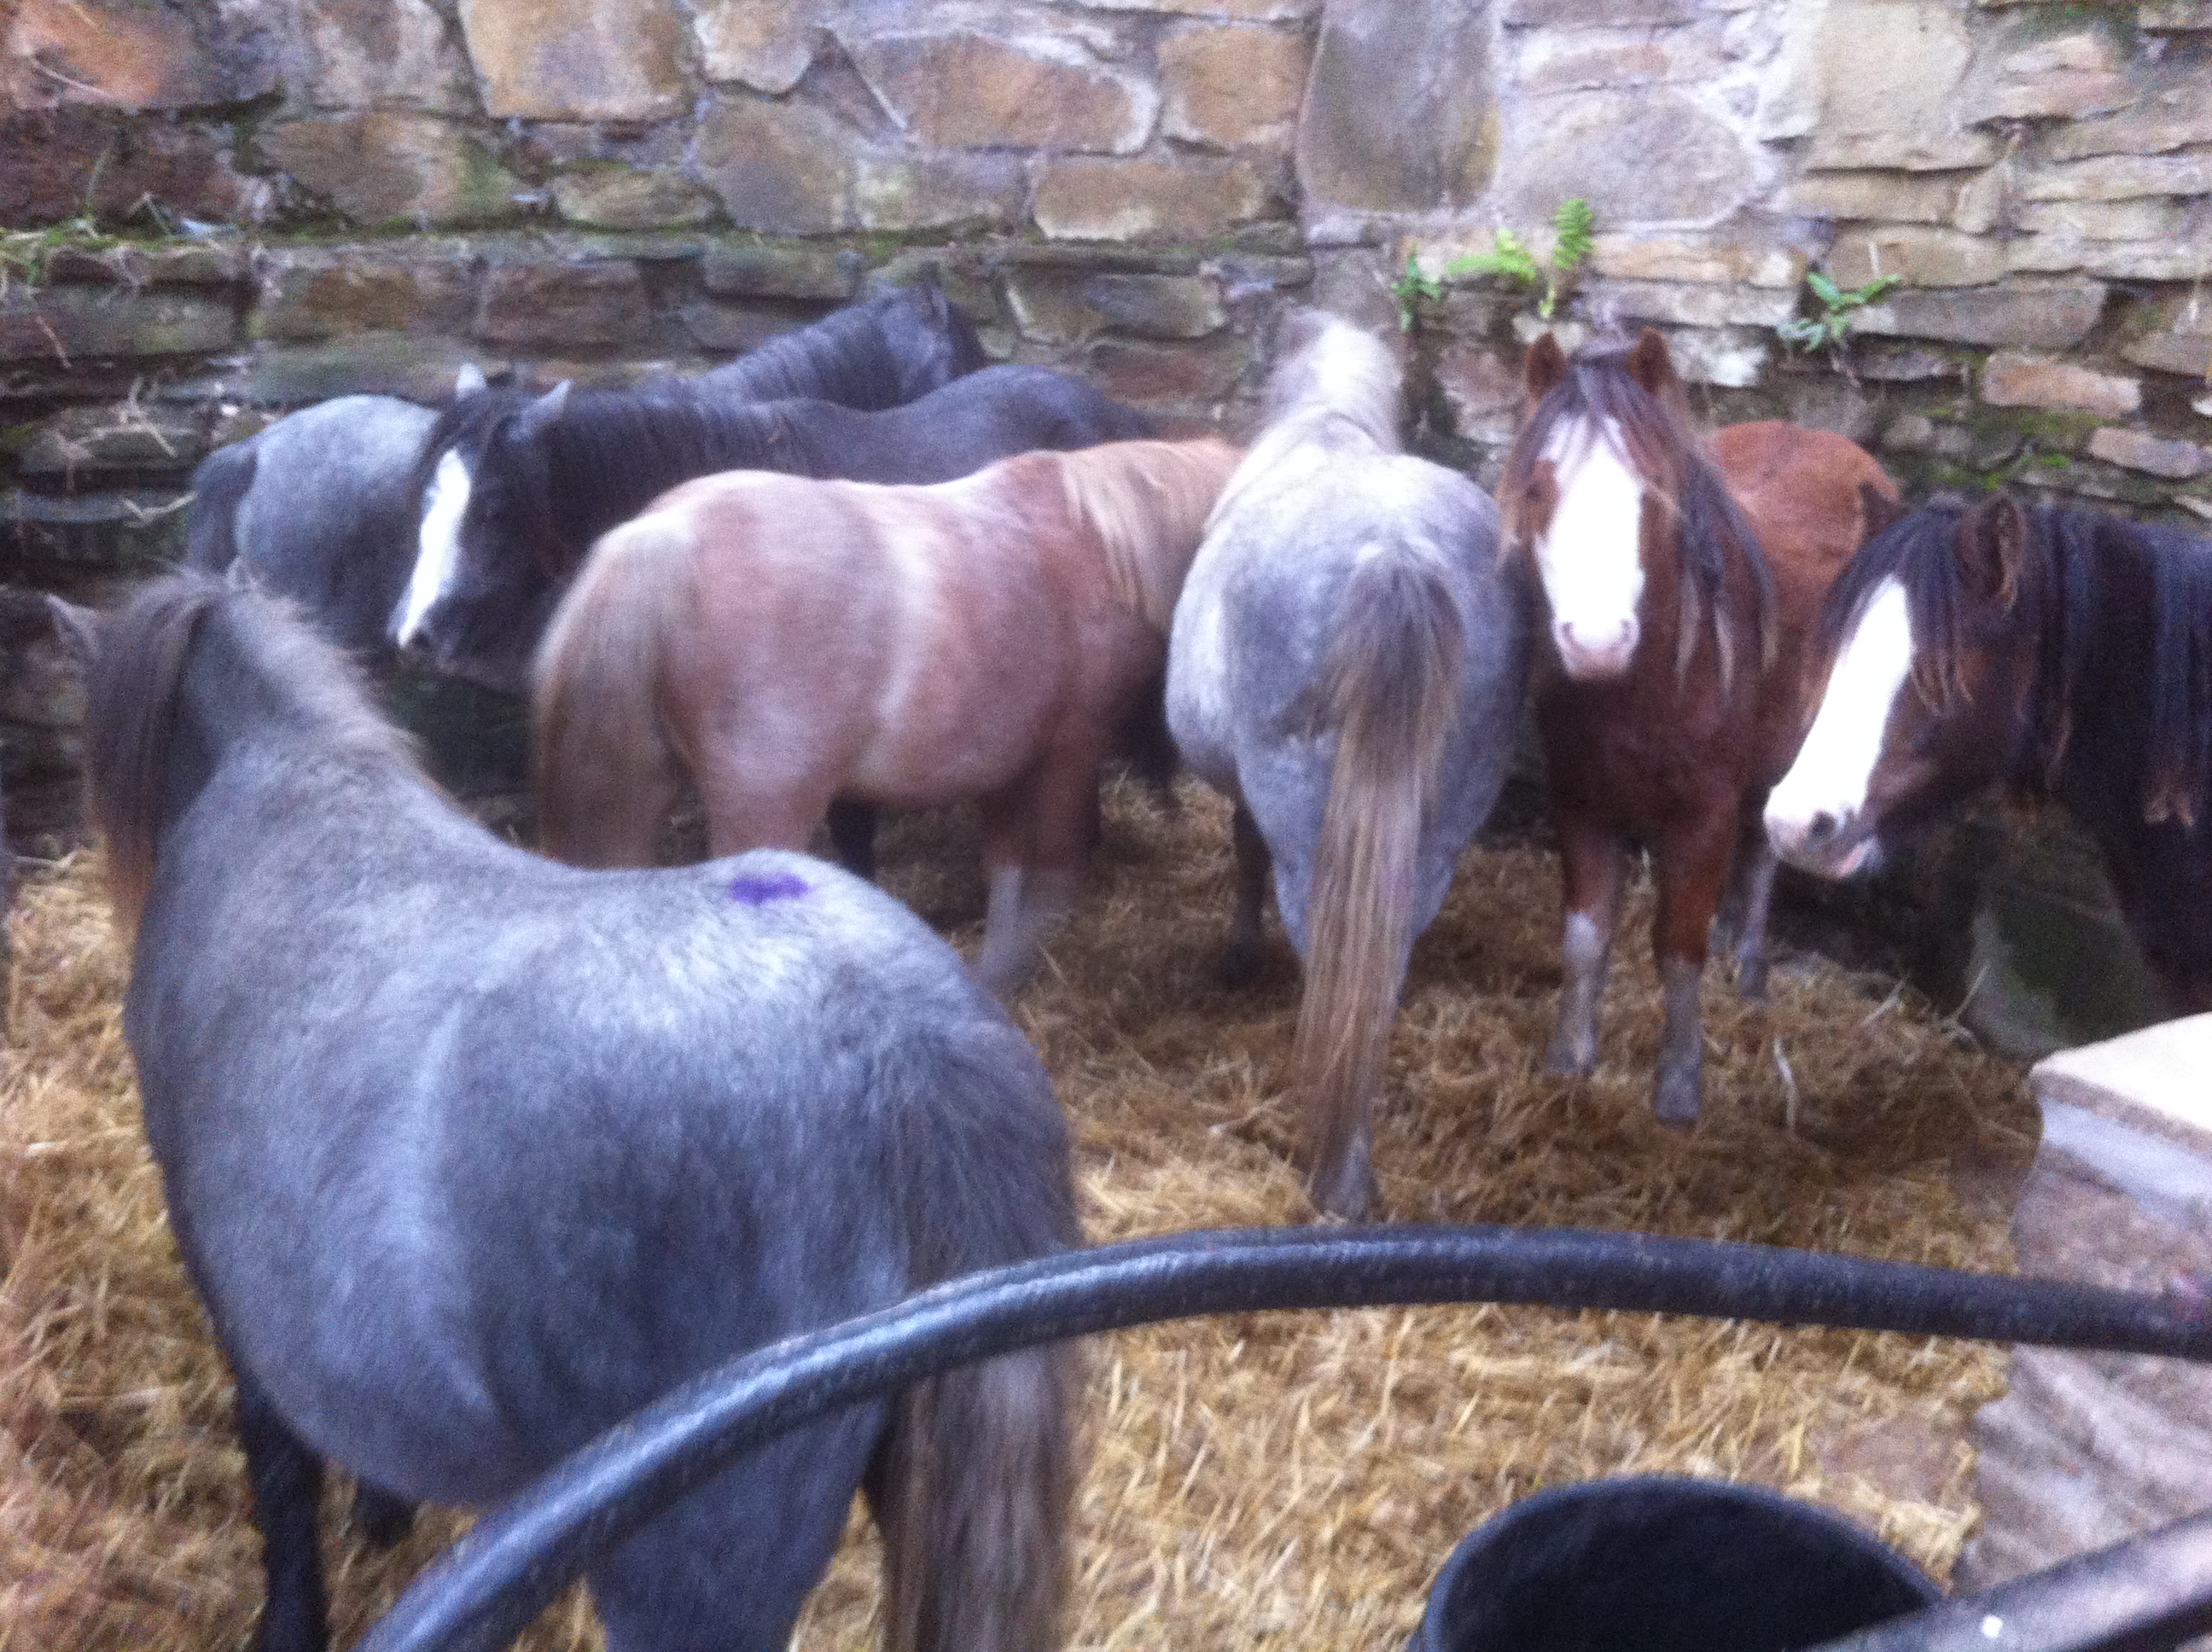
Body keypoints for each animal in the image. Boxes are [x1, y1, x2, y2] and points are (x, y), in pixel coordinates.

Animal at [532, 436, 1241, 997]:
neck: (1102, 545)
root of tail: (664, 536)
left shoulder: (1009, 765)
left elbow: (1007, 871)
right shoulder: (1068, 751)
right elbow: (1050, 873)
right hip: (766, 806)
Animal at [1165, 311, 1530, 1218]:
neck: (1324, 423)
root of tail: (1393, 550)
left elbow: (1243, 848)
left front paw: (1239, 953)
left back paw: (1338, 1177)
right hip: (1438, 831)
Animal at [1496, 329, 1898, 1125]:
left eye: (1653, 490)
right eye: (1537, 490)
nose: (1596, 643)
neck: (1649, 683)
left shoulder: (1703, 813)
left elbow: (1677, 947)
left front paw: (1680, 1090)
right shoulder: (1580, 801)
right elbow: (1584, 937)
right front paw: (1568, 1062)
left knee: (1764, 858)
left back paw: (1749, 975)